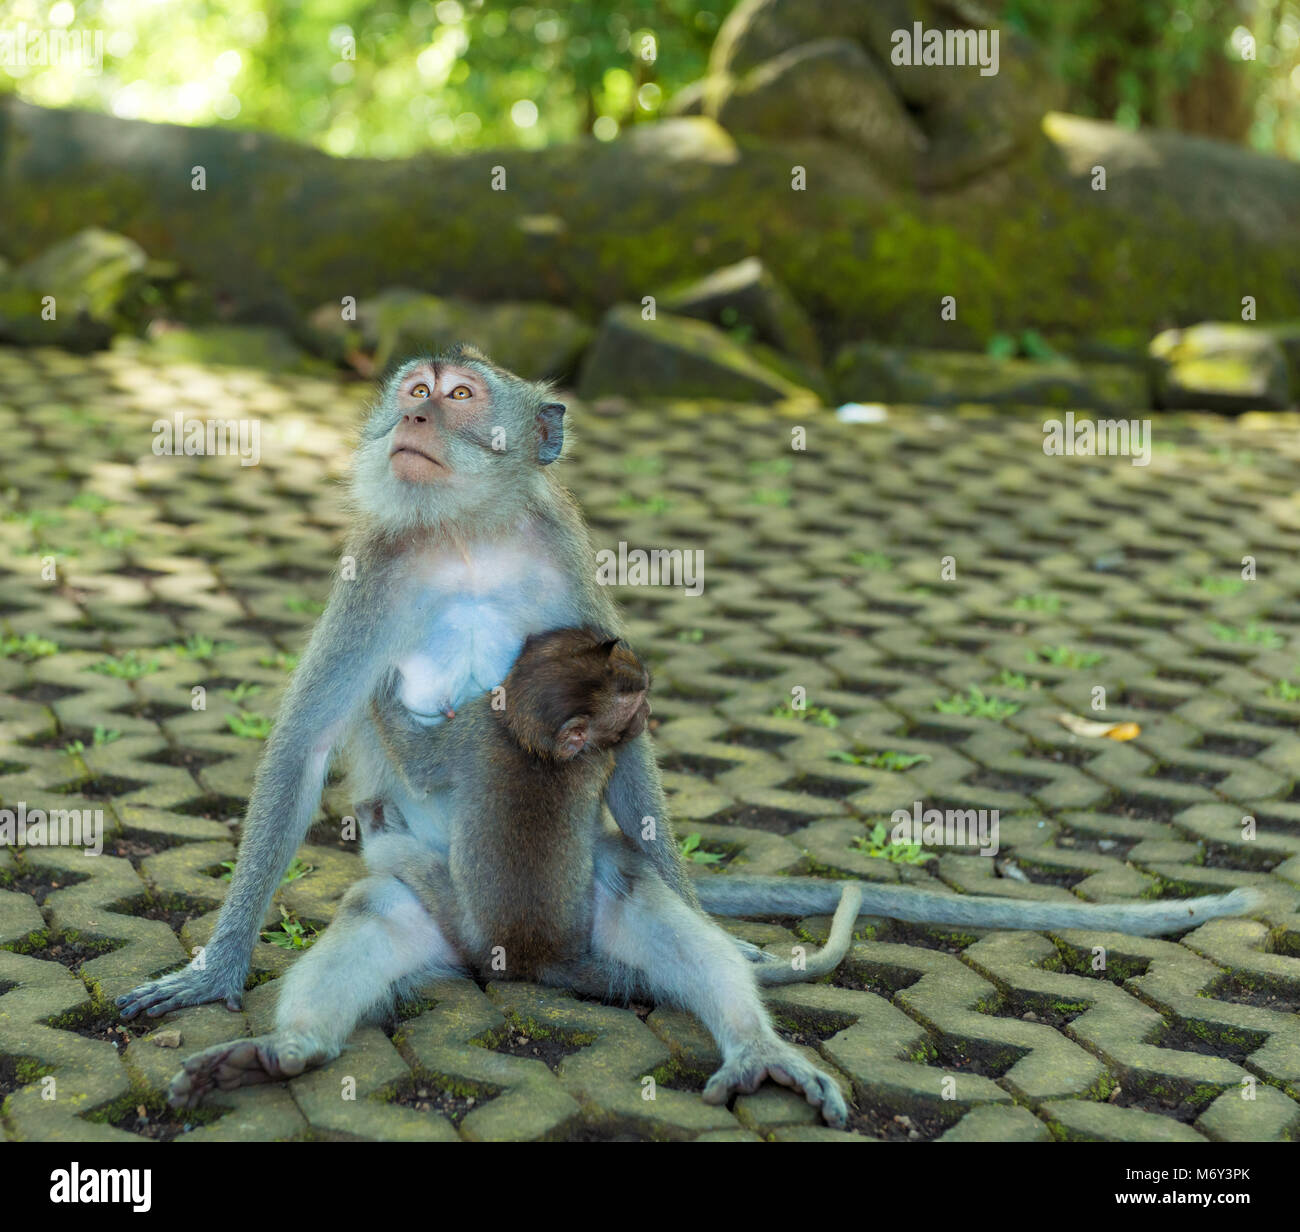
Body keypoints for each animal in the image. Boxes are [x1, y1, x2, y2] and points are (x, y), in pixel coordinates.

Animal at [166, 628, 862, 1123]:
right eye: (633, 695)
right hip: (454, 926)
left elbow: (420, 756)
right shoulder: (499, 730)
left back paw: (755, 1047)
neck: (530, 741)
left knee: (633, 881)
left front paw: (385, 687)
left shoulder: (478, 729)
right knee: (378, 903)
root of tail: (535, 958)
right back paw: (289, 1047)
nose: (648, 713)